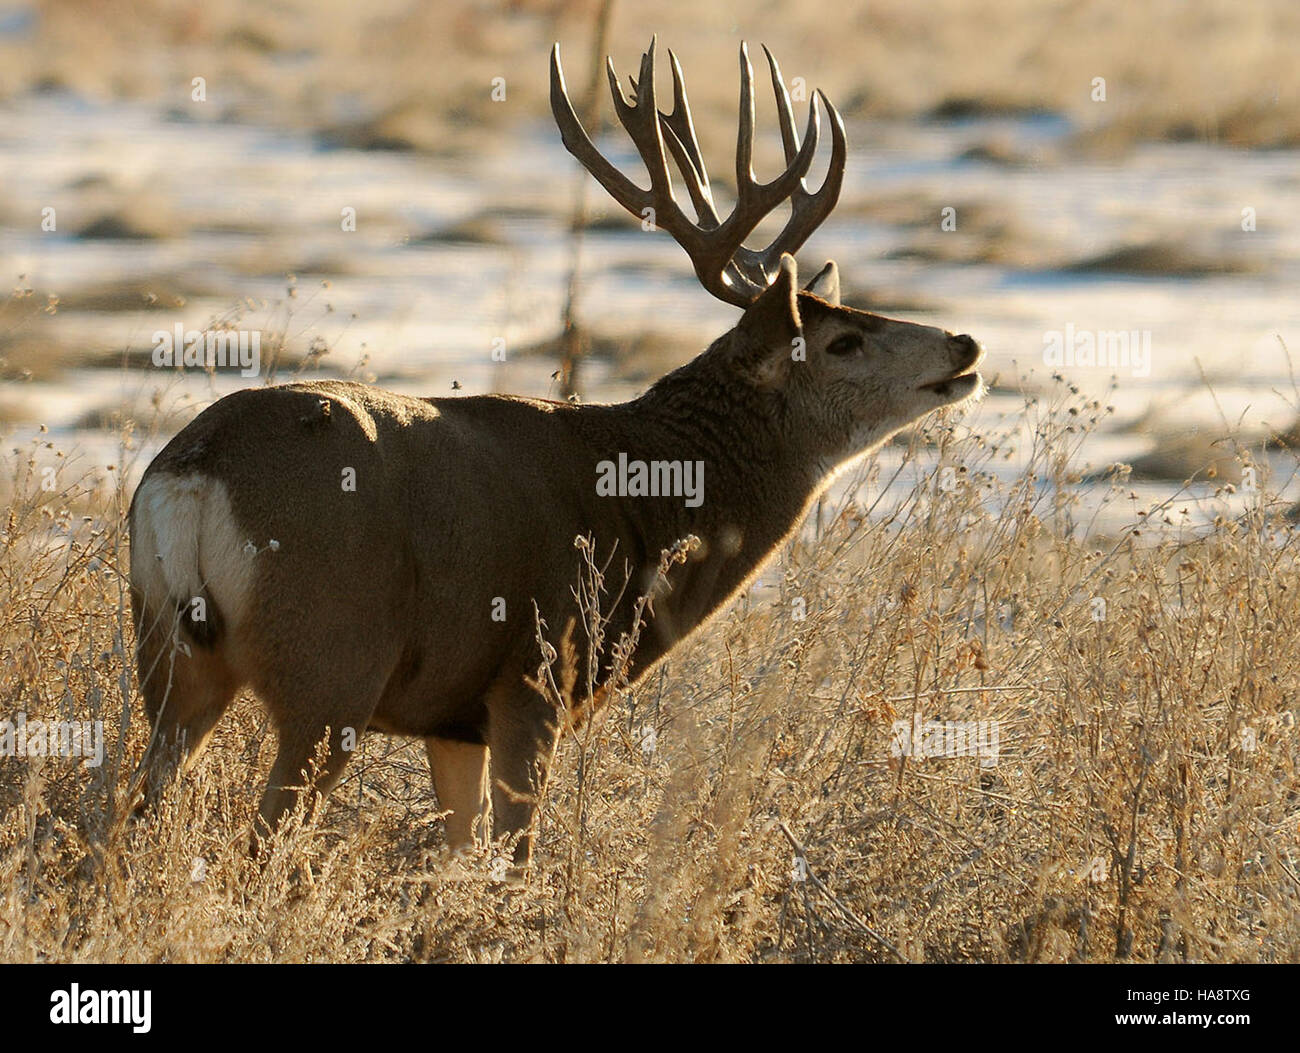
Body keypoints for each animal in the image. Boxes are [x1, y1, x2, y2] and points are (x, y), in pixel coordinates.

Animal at [128, 38, 983, 867]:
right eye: (843, 340)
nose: (965, 342)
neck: (642, 497)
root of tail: (194, 469)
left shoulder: (453, 716)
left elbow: (458, 851)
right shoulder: (533, 676)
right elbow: (514, 857)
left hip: (167, 653)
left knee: (125, 811)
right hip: (331, 662)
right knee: (259, 836)